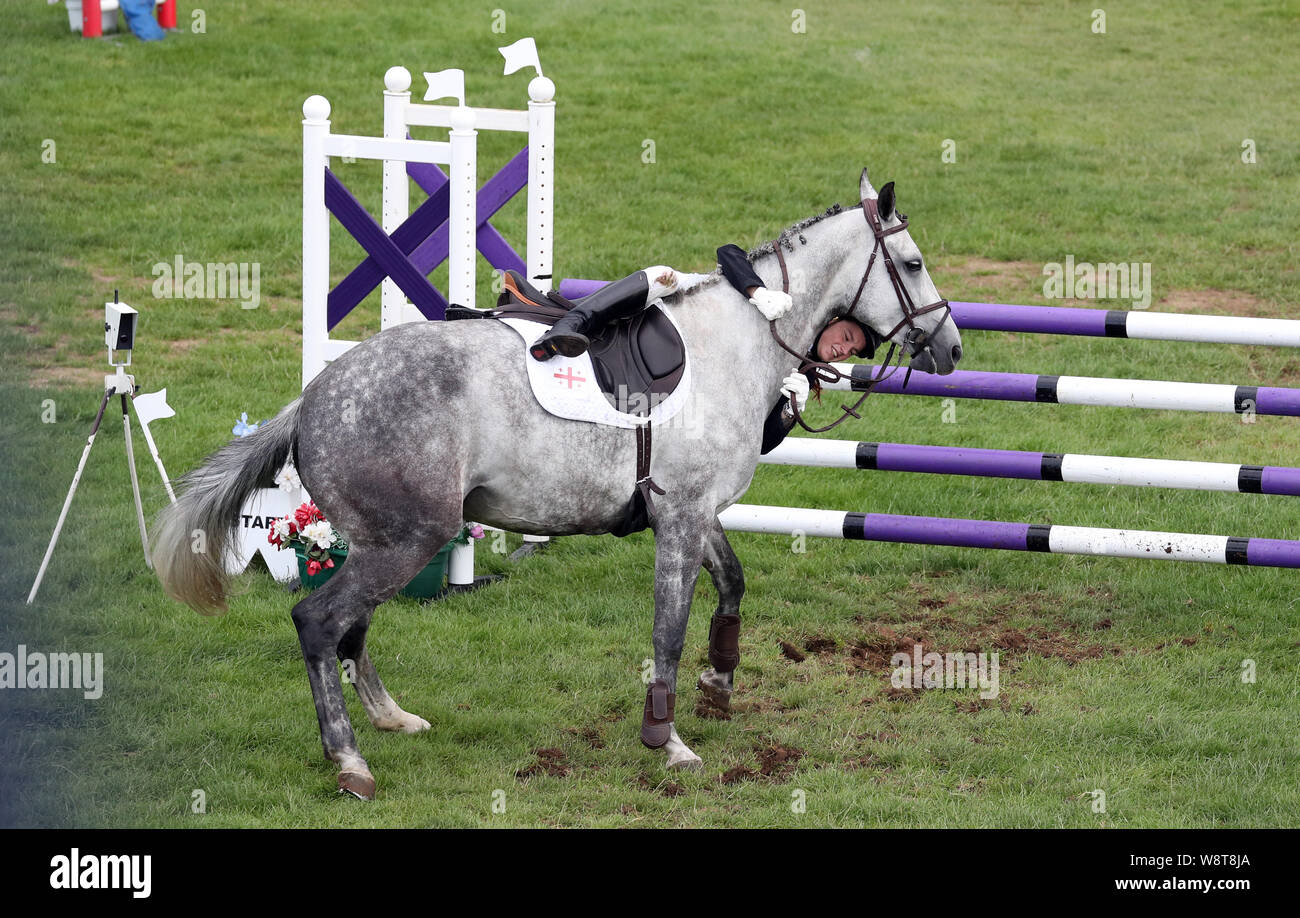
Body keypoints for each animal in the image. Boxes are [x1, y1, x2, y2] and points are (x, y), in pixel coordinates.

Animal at [151, 169, 963, 799]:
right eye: (913, 263)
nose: (952, 348)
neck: (739, 338)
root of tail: (314, 398)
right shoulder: (681, 518)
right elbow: (668, 629)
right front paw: (665, 739)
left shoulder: (694, 512)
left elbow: (732, 586)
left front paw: (720, 683)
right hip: (410, 539)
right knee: (320, 621)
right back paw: (349, 759)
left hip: (382, 540)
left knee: (351, 625)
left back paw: (390, 718)